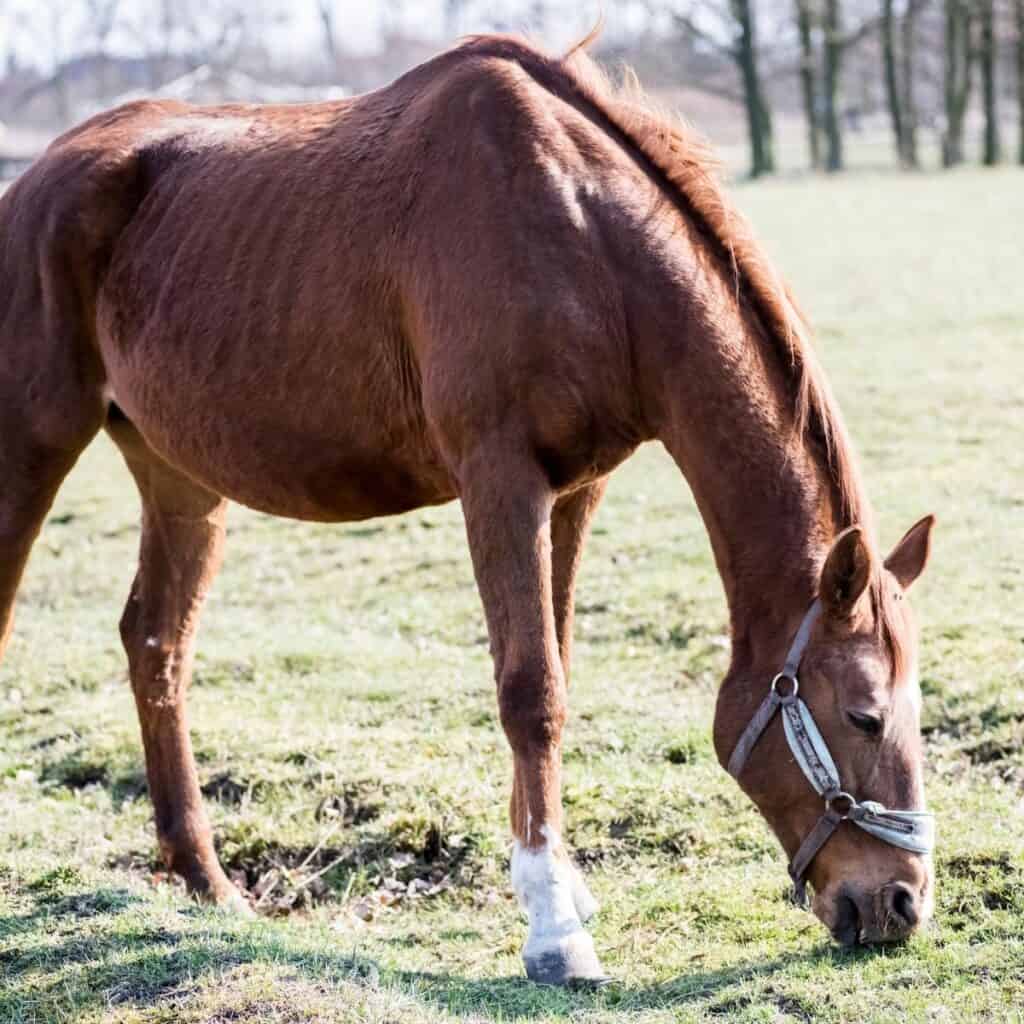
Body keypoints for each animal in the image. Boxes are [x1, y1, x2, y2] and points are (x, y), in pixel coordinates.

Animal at [0, 34, 936, 985]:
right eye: (863, 714)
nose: (900, 904)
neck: (585, 242)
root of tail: (35, 181)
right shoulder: (499, 478)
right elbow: (531, 692)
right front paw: (555, 931)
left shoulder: (576, 488)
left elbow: (557, 660)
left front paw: (555, 883)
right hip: (30, 446)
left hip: (178, 475)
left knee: (158, 645)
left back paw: (202, 877)